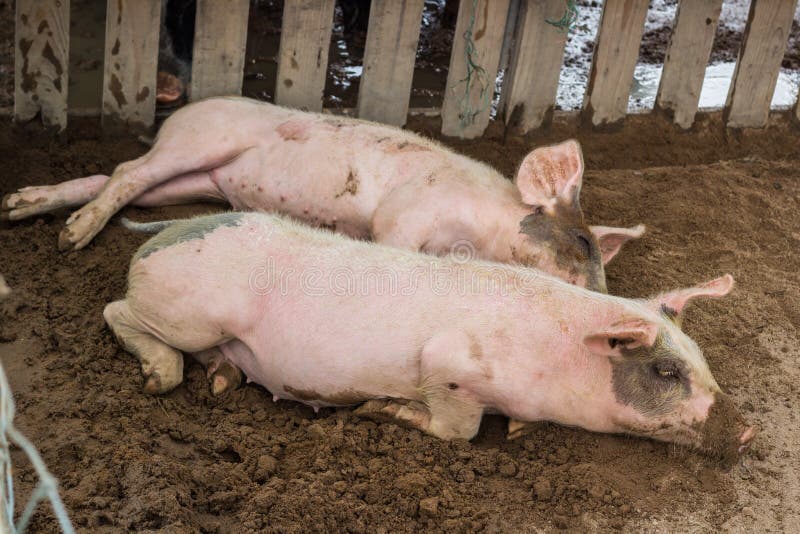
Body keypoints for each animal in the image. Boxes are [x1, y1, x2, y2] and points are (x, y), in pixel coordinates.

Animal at [1, 97, 644, 295]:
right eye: (582, 241)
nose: (605, 296)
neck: (484, 228)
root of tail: (179, 115)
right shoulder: (406, 214)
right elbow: (392, 243)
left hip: (194, 182)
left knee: (113, 176)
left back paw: (17, 206)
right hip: (197, 143)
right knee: (127, 170)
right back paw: (70, 238)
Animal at [105, 211, 755, 460]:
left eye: (701, 359)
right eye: (665, 371)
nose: (747, 429)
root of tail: (179, 225)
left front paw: (517, 431)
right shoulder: (449, 365)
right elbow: (458, 430)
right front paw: (378, 412)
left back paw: (221, 381)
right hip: (191, 312)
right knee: (117, 311)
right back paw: (160, 377)